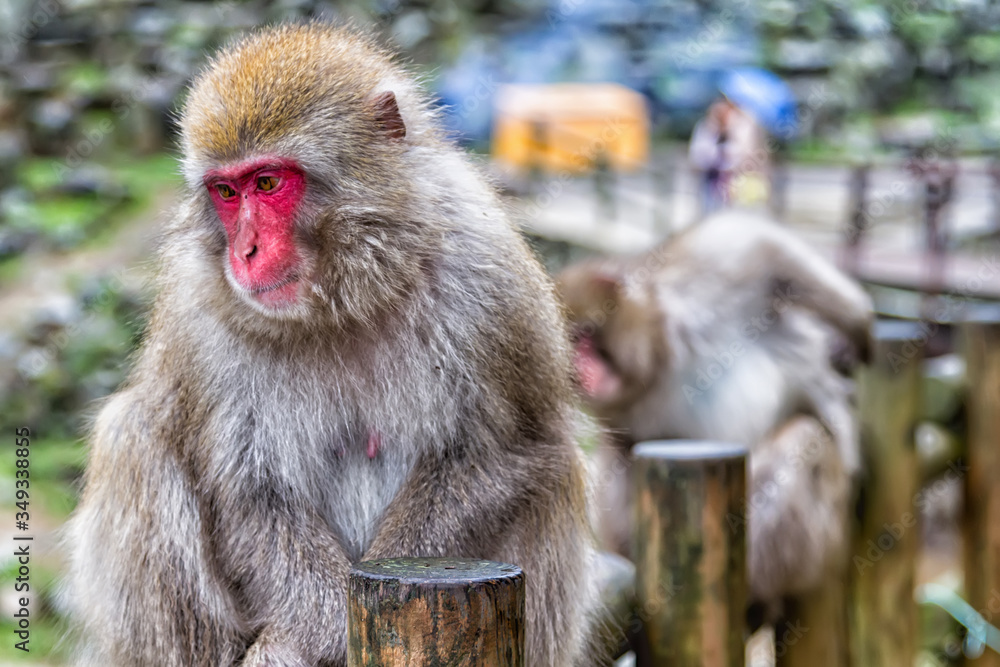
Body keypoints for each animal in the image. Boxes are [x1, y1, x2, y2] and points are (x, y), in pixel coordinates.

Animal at [64, 23, 600, 667]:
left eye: (268, 182)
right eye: (225, 192)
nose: (243, 251)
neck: (346, 299)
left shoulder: (487, 273)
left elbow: (500, 451)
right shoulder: (200, 318)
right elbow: (246, 492)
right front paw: (316, 633)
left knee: (556, 468)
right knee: (134, 434)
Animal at [557, 209, 873, 620]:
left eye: (584, 336)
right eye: (567, 349)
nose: (581, 371)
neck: (662, 358)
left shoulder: (704, 272)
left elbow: (769, 252)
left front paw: (859, 331)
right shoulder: (619, 411)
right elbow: (624, 450)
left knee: (805, 442)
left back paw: (756, 587)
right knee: (615, 458)